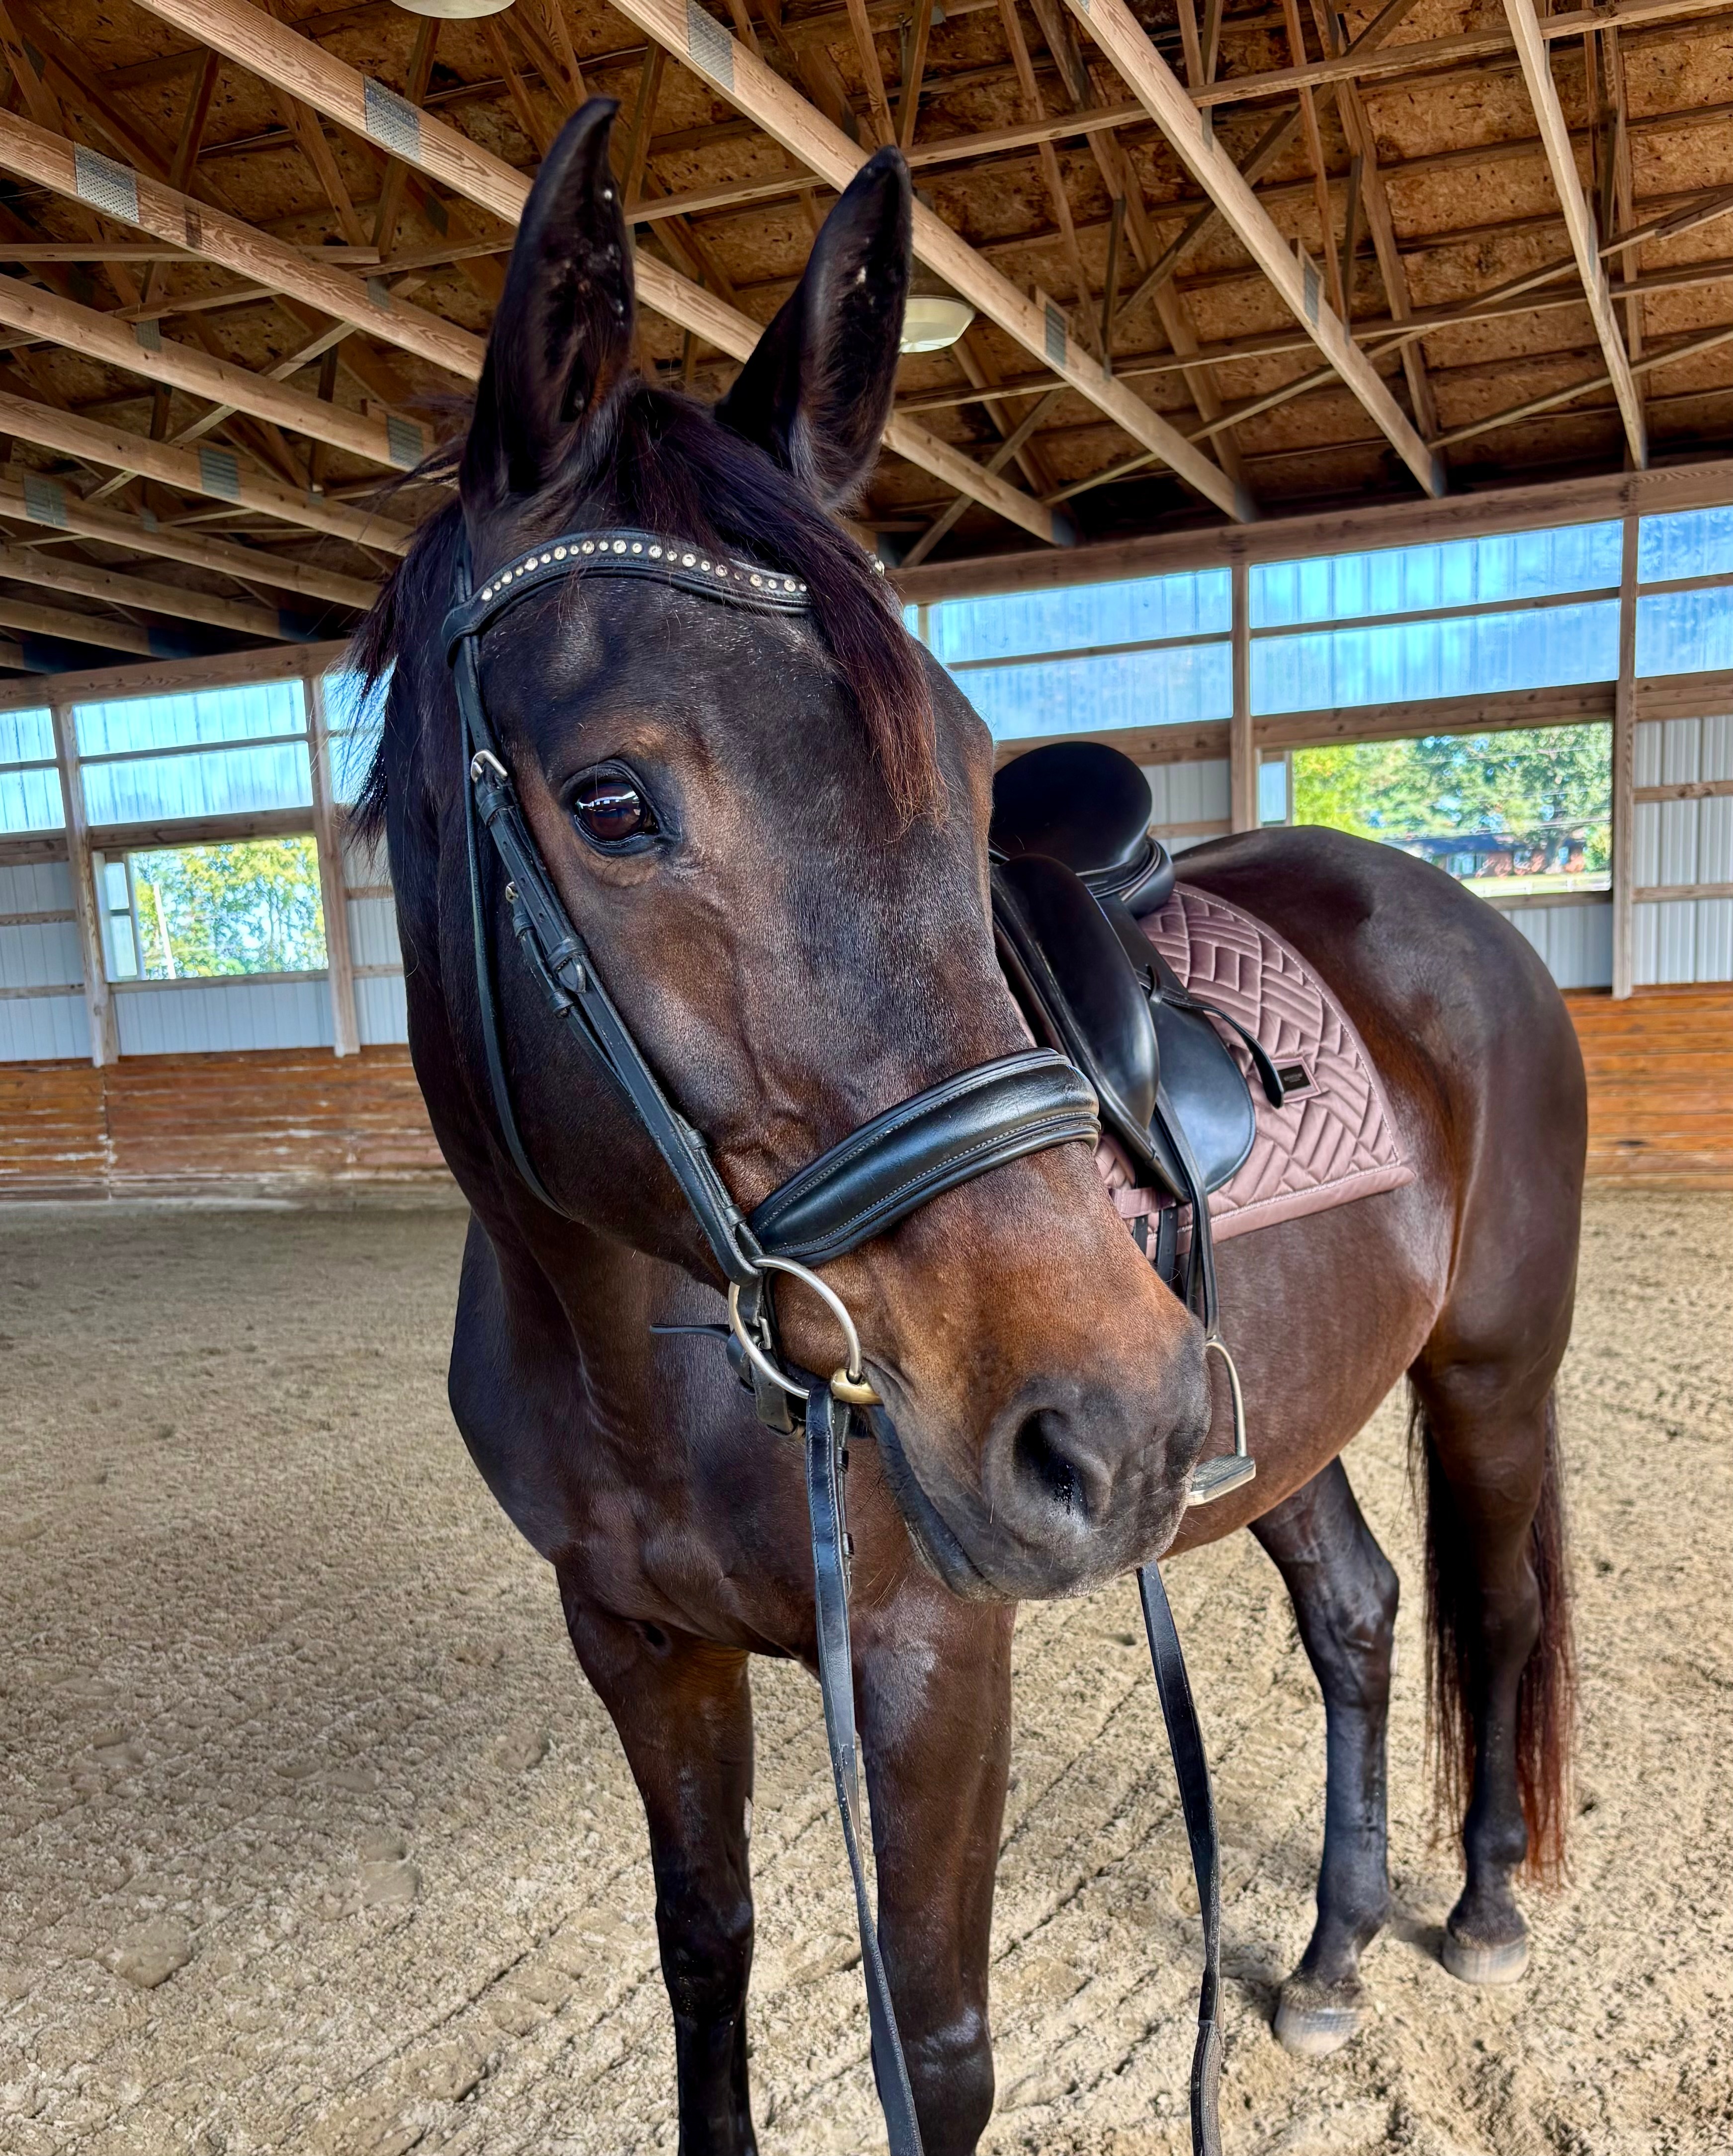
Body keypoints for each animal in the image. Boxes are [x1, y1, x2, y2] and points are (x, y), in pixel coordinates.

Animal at [350, 98, 1580, 2155]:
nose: (1100, 1416)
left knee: (1490, 1607)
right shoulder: (634, 1641)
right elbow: (707, 1961)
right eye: (608, 801)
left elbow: (929, 2052)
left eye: (960, 758)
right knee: (1355, 1609)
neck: (644, 1352)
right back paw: (1328, 1955)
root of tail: (1461, 920)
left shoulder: (928, 1658)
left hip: (1476, 1373)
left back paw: (1477, 1909)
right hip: (1271, 1409)